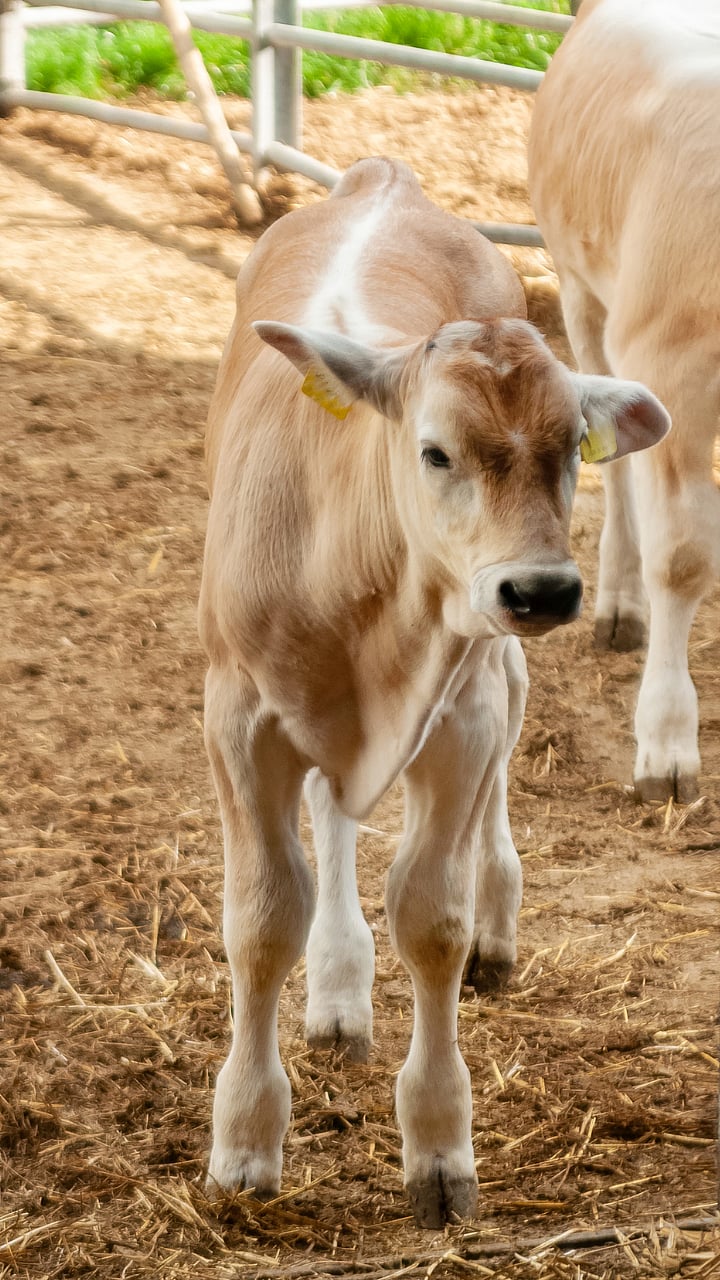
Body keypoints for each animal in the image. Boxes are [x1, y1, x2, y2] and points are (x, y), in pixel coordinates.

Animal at [199, 157, 669, 1227]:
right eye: (436, 450)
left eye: (572, 451)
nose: (542, 589)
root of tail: (384, 181)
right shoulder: (239, 720)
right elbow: (263, 920)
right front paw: (244, 1141)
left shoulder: (459, 717)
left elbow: (430, 918)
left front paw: (440, 1148)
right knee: (331, 817)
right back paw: (338, 987)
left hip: (489, 665)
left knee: (507, 726)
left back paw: (493, 912)